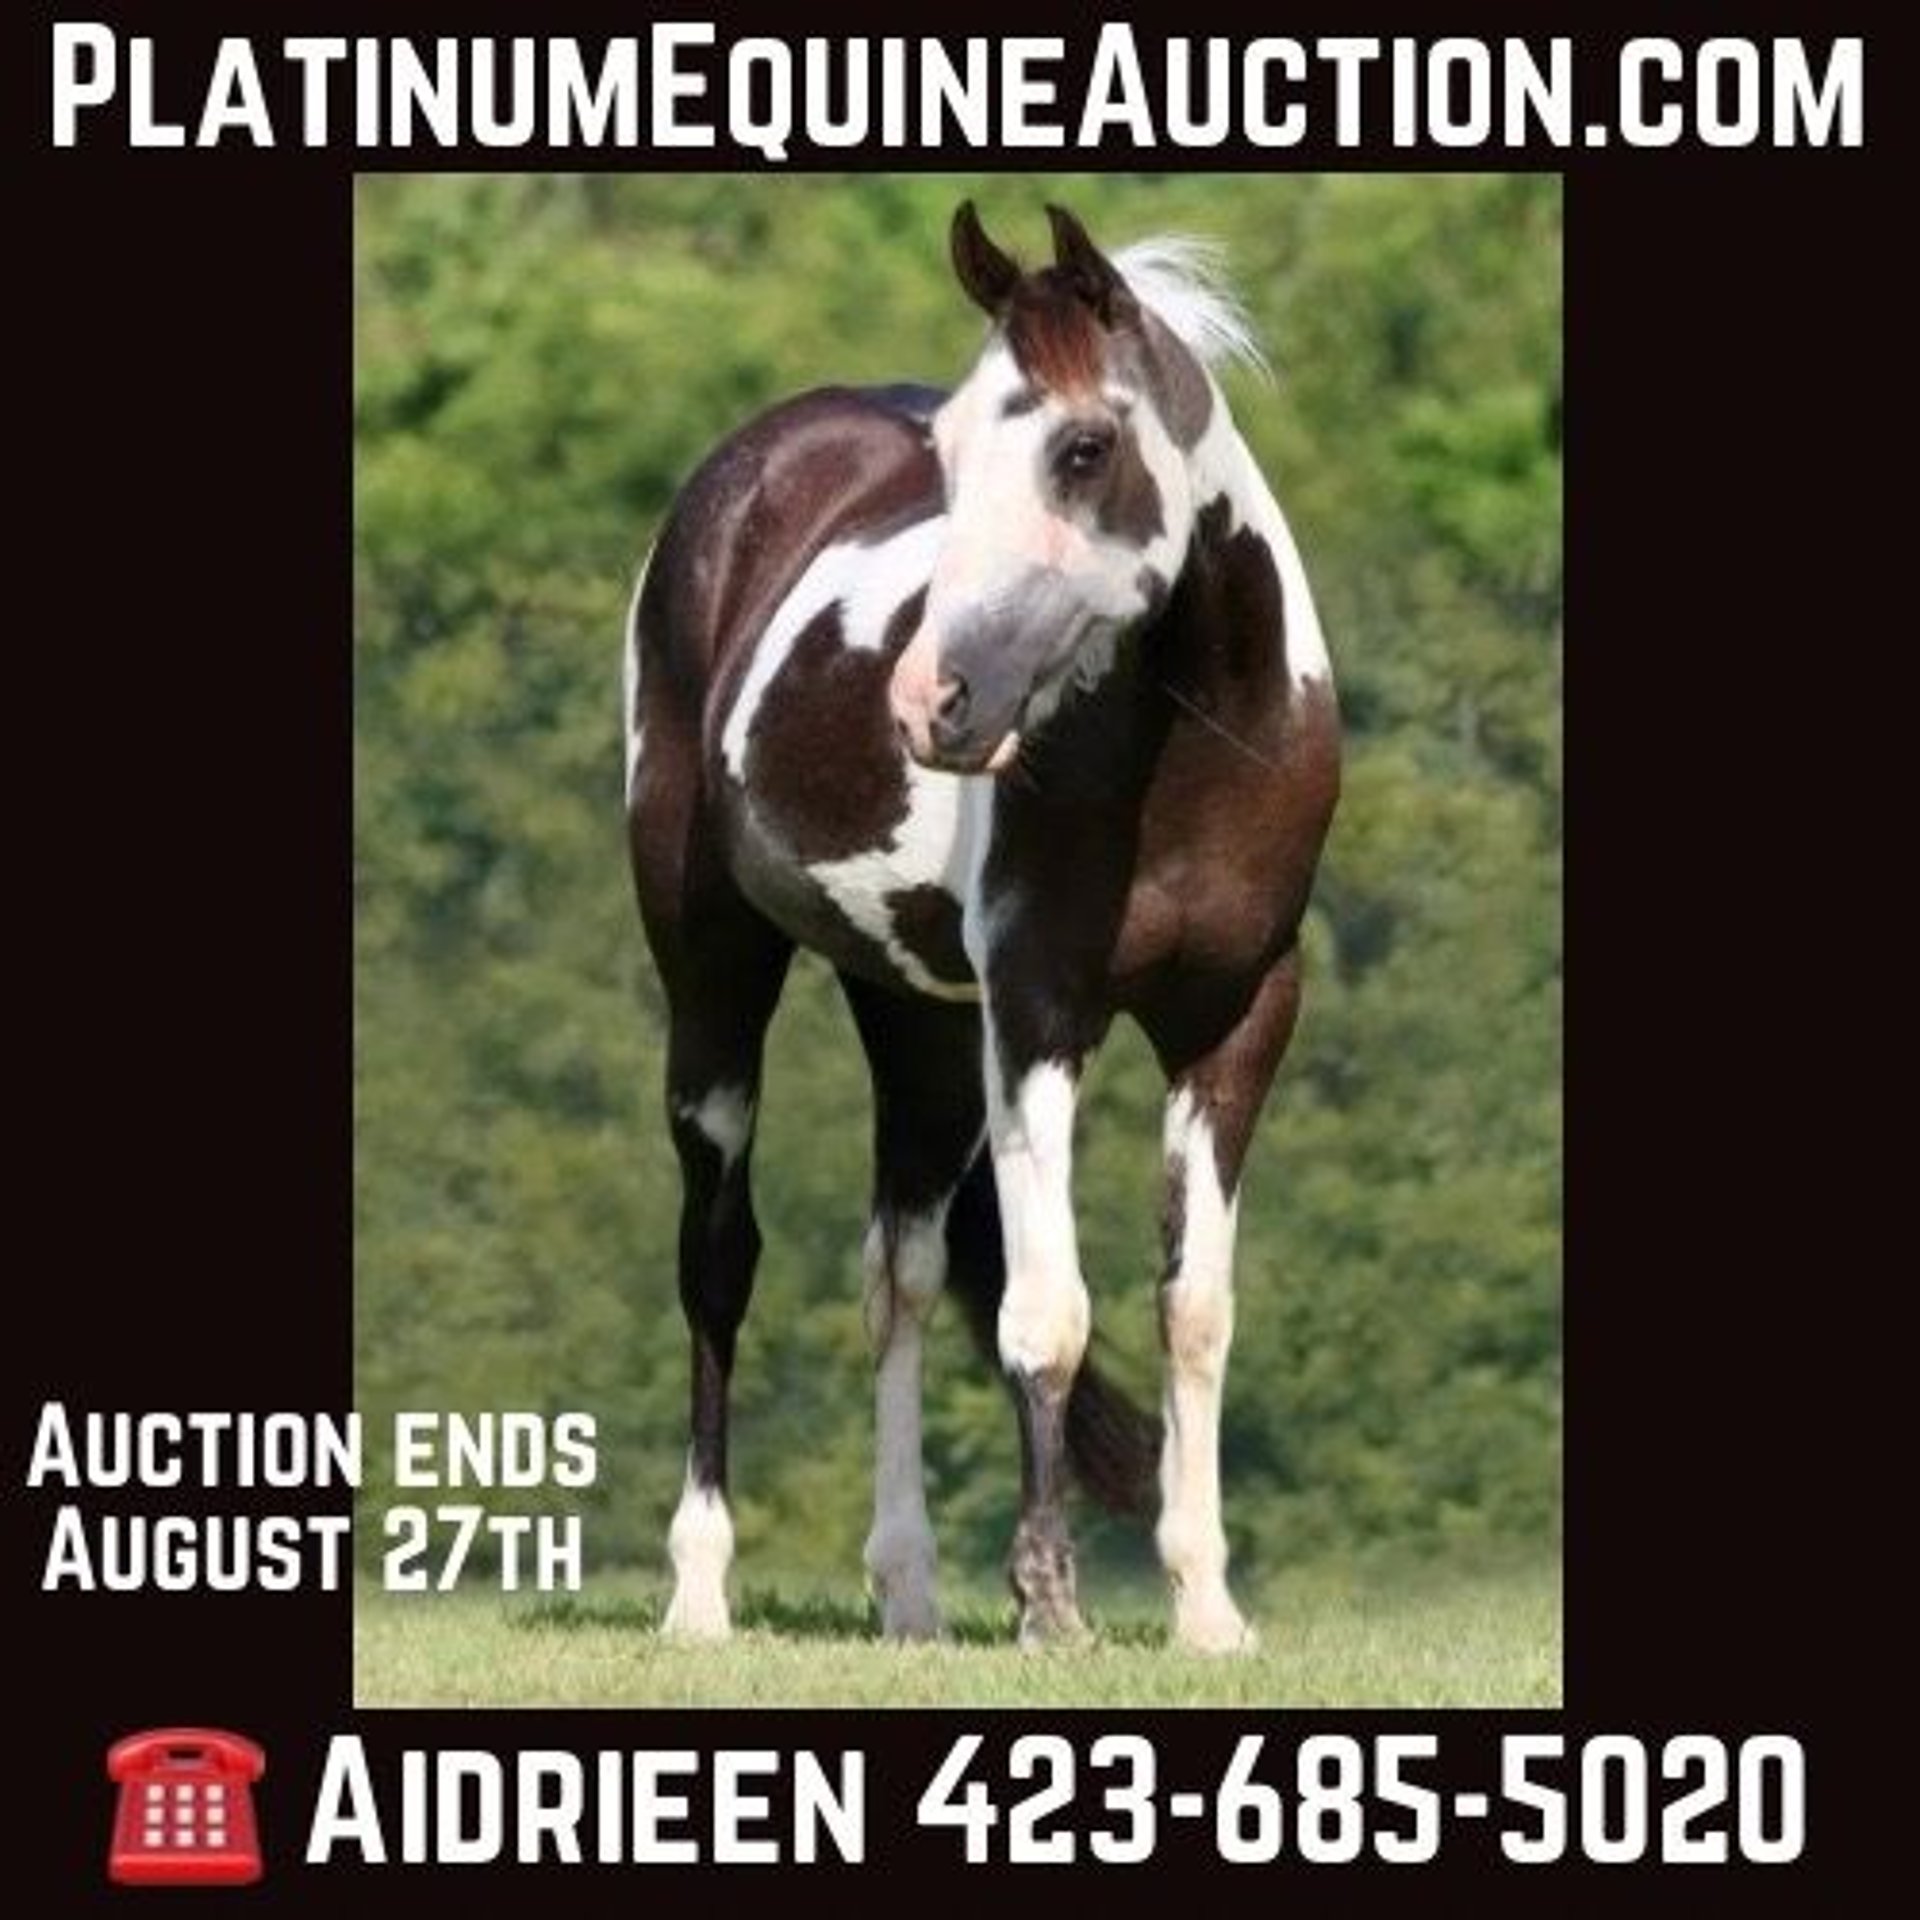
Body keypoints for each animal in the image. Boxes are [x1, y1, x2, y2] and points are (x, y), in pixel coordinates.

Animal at [625, 202, 1340, 1651]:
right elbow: (1045, 1316)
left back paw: (909, 1599)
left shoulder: (1238, 1019)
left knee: (894, 1269)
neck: (1194, 751)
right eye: (949, 457)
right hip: (716, 976)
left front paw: (1206, 1608)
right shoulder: (1042, 1016)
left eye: (1084, 447)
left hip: (921, 1028)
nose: (929, 704)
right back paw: (700, 1592)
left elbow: (1194, 1309)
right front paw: (1051, 1608)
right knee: (718, 1259)